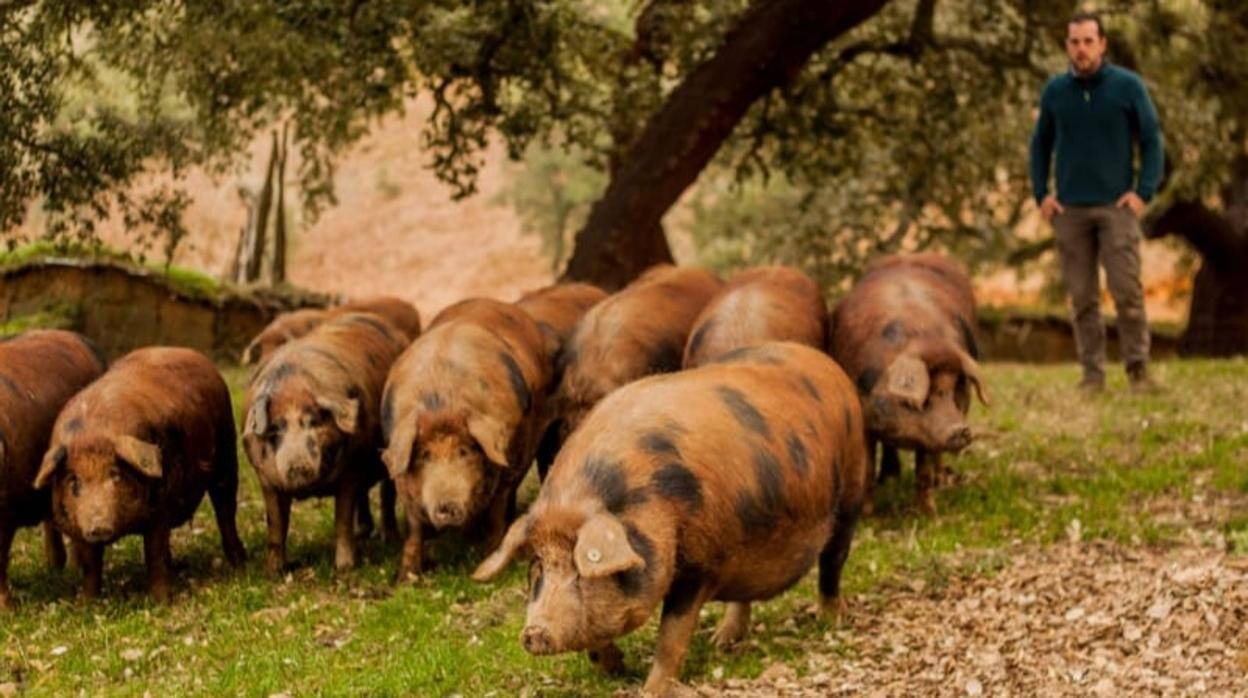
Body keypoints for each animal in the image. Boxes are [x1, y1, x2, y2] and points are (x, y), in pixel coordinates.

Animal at [33, 347, 245, 602]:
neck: (93, 432)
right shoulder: (80, 529)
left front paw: (162, 601)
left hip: (227, 449)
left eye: (115, 475)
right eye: (74, 482)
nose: (98, 526)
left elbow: (153, 554)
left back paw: (239, 565)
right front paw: (87, 603)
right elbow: (91, 565)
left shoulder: (160, 509)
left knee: (225, 510)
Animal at [242, 312, 409, 573]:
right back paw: (363, 532)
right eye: (275, 428)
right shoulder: (265, 479)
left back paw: (388, 538)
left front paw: (345, 568)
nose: (297, 465)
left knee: (387, 494)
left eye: (313, 421)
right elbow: (276, 524)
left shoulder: (351, 470)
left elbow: (342, 519)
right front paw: (274, 571)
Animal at [381, 298, 550, 580]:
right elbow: (414, 527)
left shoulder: (510, 461)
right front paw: (407, 578)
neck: (441, 402)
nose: (446, 506)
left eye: (465, 451)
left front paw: (486, 558)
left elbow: (496, 511)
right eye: (424, 455)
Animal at [473, 342, 868, 696]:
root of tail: (825, 364)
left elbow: (671, 636)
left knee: (832, 565)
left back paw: (830, 620)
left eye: (580, 570)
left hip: (850, 492)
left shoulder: (701, 567)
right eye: (538, 566)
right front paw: (614, 670)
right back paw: (722, 640)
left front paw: (651, 689)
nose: (534, 633)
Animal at [828, 253, 988, 514]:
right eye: (926, 397)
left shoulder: (929, 432)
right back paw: (889, 479)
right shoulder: (864, 418)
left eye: (957, 388)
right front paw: (868, 515)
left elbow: (923, 470)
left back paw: (940, 480)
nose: (961, 430)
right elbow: (867, 468)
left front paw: (929, 515)